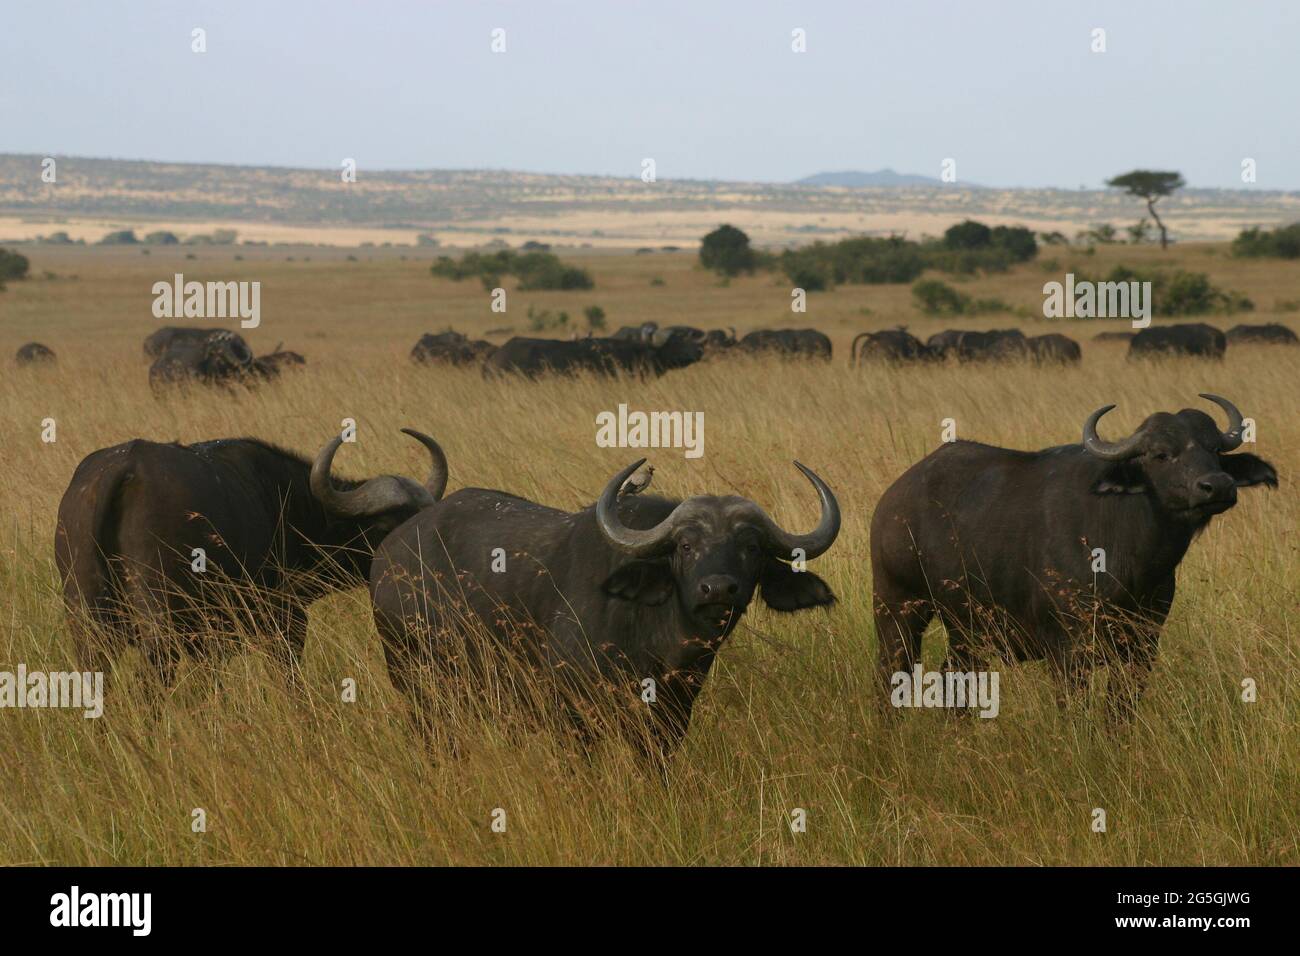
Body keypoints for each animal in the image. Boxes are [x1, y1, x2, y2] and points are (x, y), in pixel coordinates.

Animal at [55, 429, 446, 695]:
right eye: (387, 528)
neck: (285, 503)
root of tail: (125, 467)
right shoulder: (286, 623)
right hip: (159, 627)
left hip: (88, 624)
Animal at [314, 444, 841, 759]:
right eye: (686, 545)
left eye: (751, 547)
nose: (717, 589)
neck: (656, 638)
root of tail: (393, 549)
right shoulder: (570, 715)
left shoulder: (671, 717)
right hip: (416, 679)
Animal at [871, 394, 1277, 724]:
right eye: (1161, 454)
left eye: (1215, 450)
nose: (1217, 486)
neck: (1131, 558)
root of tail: (893, 500)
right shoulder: (1069, 651)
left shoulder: (1142, 645)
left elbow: (1120, 712)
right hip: (897, 608)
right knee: (893, 675)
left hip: (967, 630)